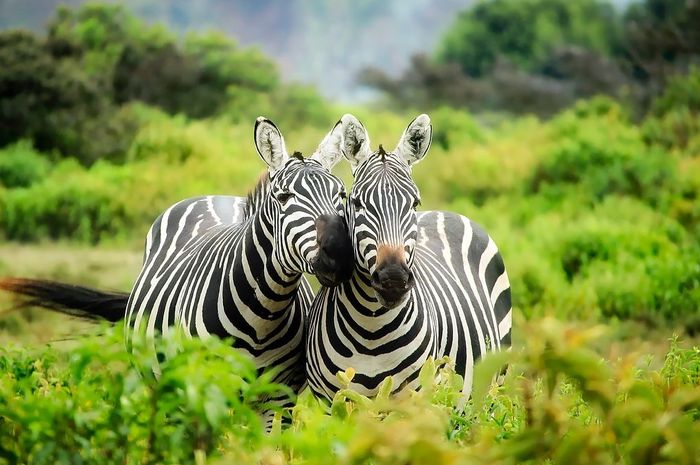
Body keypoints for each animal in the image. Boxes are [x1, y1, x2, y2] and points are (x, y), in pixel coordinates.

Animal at [0, 116, 354, 408]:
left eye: (341, 195)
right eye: (284, 197)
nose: (339, 254)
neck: (263, 315)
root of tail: (213, 197)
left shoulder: (279, 397)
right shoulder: (204, 387)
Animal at [306, 114, 512, 402]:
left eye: (414, 203)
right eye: (356, 203)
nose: (393, 279)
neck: (371, 329)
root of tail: (446, 212)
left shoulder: (414, 399)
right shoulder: (330, 401)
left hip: (494, 385)